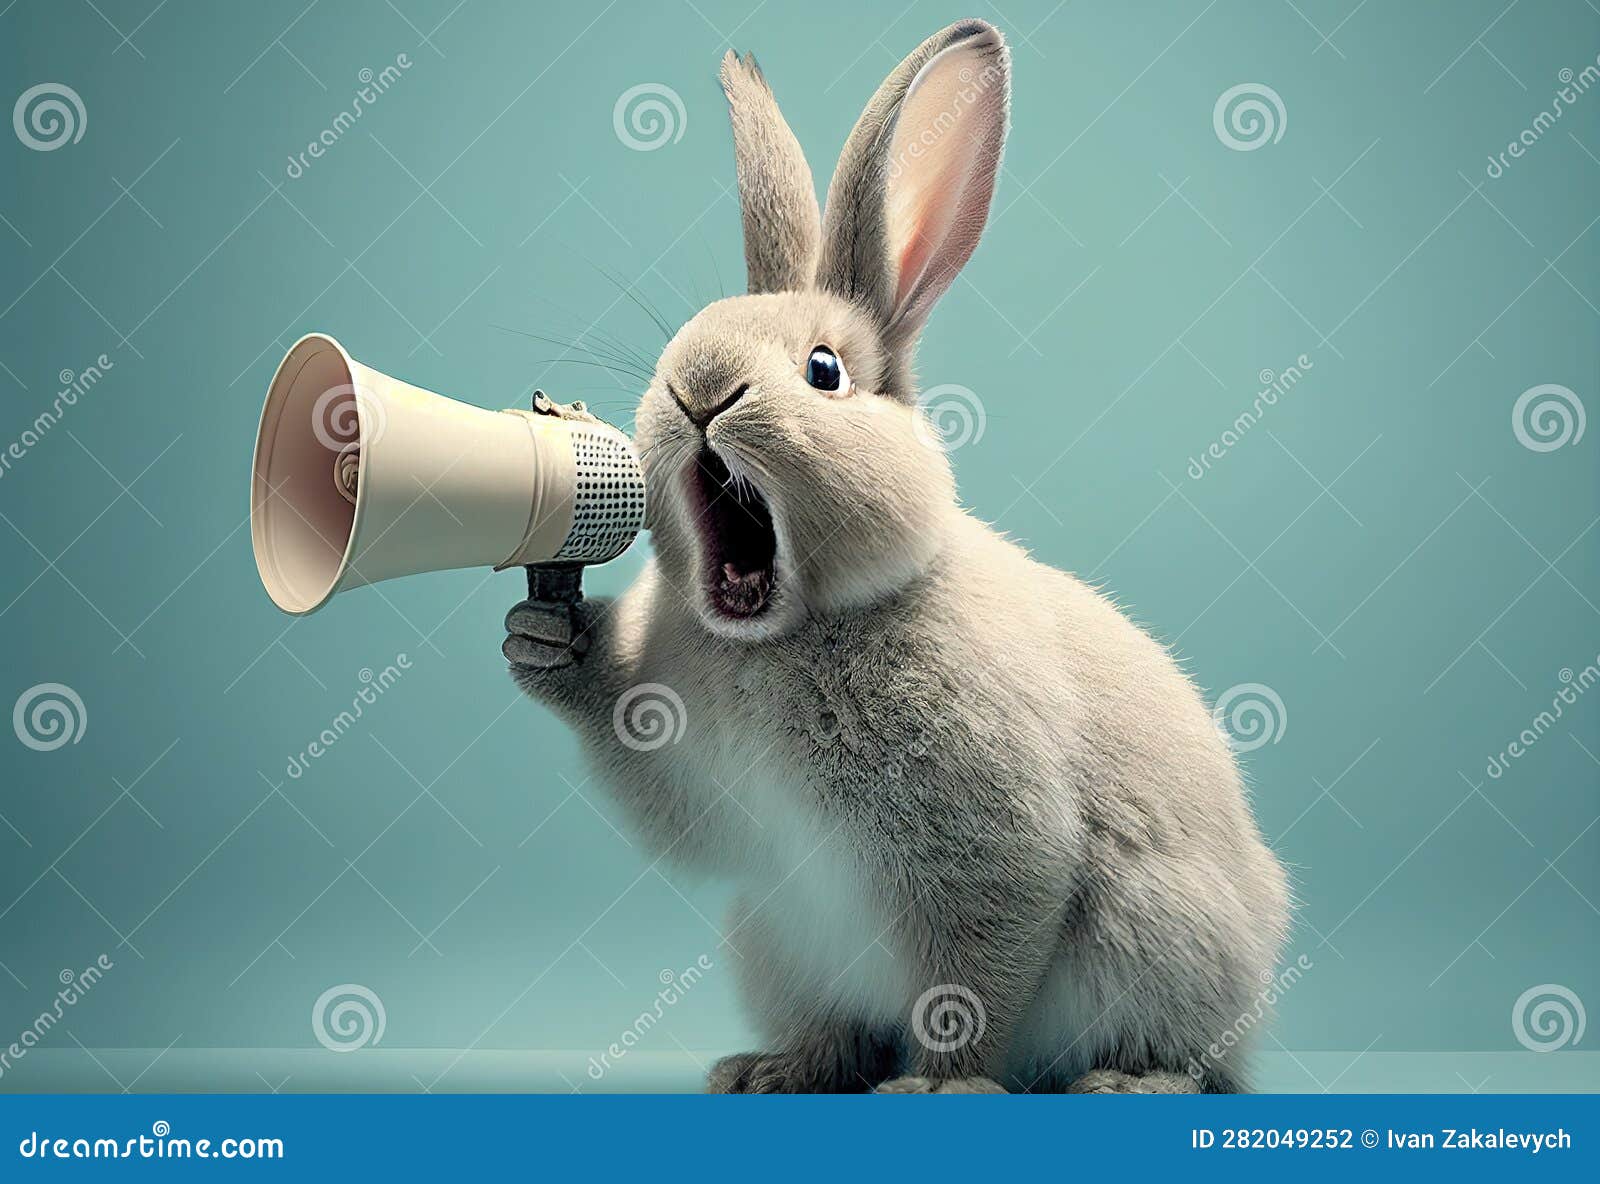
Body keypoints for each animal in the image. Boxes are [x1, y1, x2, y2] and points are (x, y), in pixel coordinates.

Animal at [504, 19, 1290, 1094]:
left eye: (824, 370)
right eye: (685, 344)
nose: (696, 388)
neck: (794, 633)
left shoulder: (993, 853)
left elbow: (973, 973)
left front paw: (938, 1085)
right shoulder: (705, 794)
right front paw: (543, 638)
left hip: (1155, 929)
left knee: (1193, 1061)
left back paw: (1127, 1080)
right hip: (774, 937)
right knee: (841, 1025)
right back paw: (772, 1069)